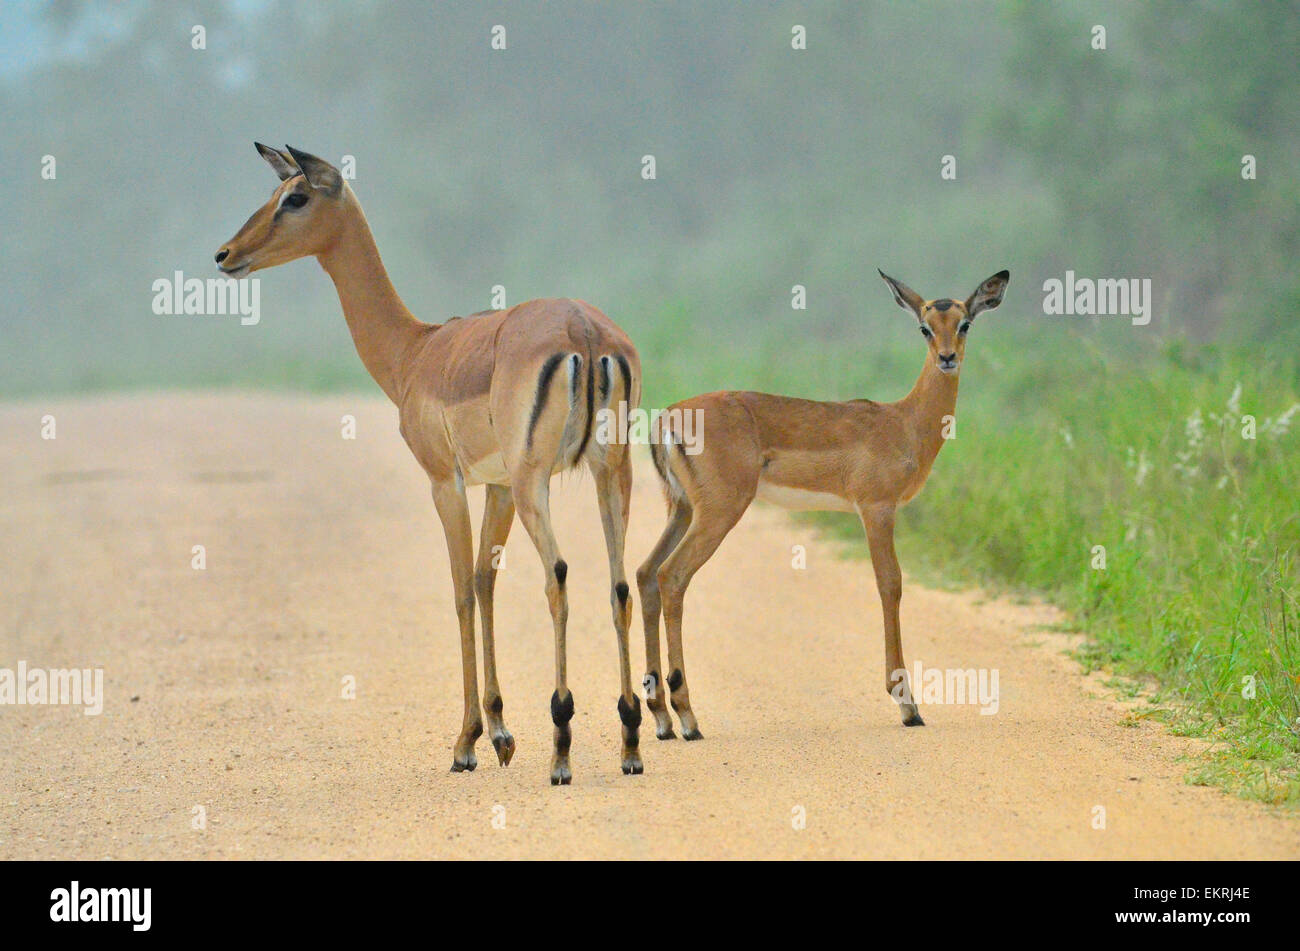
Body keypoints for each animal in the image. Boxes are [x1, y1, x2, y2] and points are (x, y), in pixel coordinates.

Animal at [215, 144, 644, 785]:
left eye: (296, 197)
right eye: (275, 192)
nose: (225, 255)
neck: (414, 353)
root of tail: (584, 332)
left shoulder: (446, 482)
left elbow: (462, 588)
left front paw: (467, 742)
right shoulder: (494, 486)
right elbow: (486, 580)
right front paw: (500, 734)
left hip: (537, 482)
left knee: (559, 575)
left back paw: (562, 748)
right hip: (610, 473)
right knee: (618, 584)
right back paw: (631, 741)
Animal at [636, 269, 1009, 738]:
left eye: (965, 324)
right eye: (925, 327)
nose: (947, 358)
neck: (904, 423)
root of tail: (668, 418)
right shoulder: (877, 508)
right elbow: (890, 584)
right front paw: (908, 705)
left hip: (681, 508)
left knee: (646, 573)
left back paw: (662, 718)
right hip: (719, 511)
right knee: (672, 576)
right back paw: (688, 717)